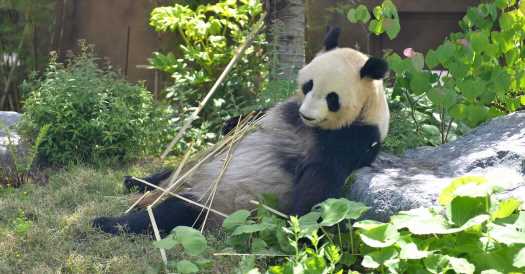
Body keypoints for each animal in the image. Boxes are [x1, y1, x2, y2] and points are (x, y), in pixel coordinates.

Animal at [93, 26, 388, 234]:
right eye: (308, 85)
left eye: (332, 98)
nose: (306, 114)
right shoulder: (285, 108)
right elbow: (252, 117)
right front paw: (228, 124)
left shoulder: (353, 138)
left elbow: (320, 181)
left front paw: (300, 226)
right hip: (192, 171)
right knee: (171, 172)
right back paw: (135, 181)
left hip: (217, 202)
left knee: (173, 214)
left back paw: (108, 222)